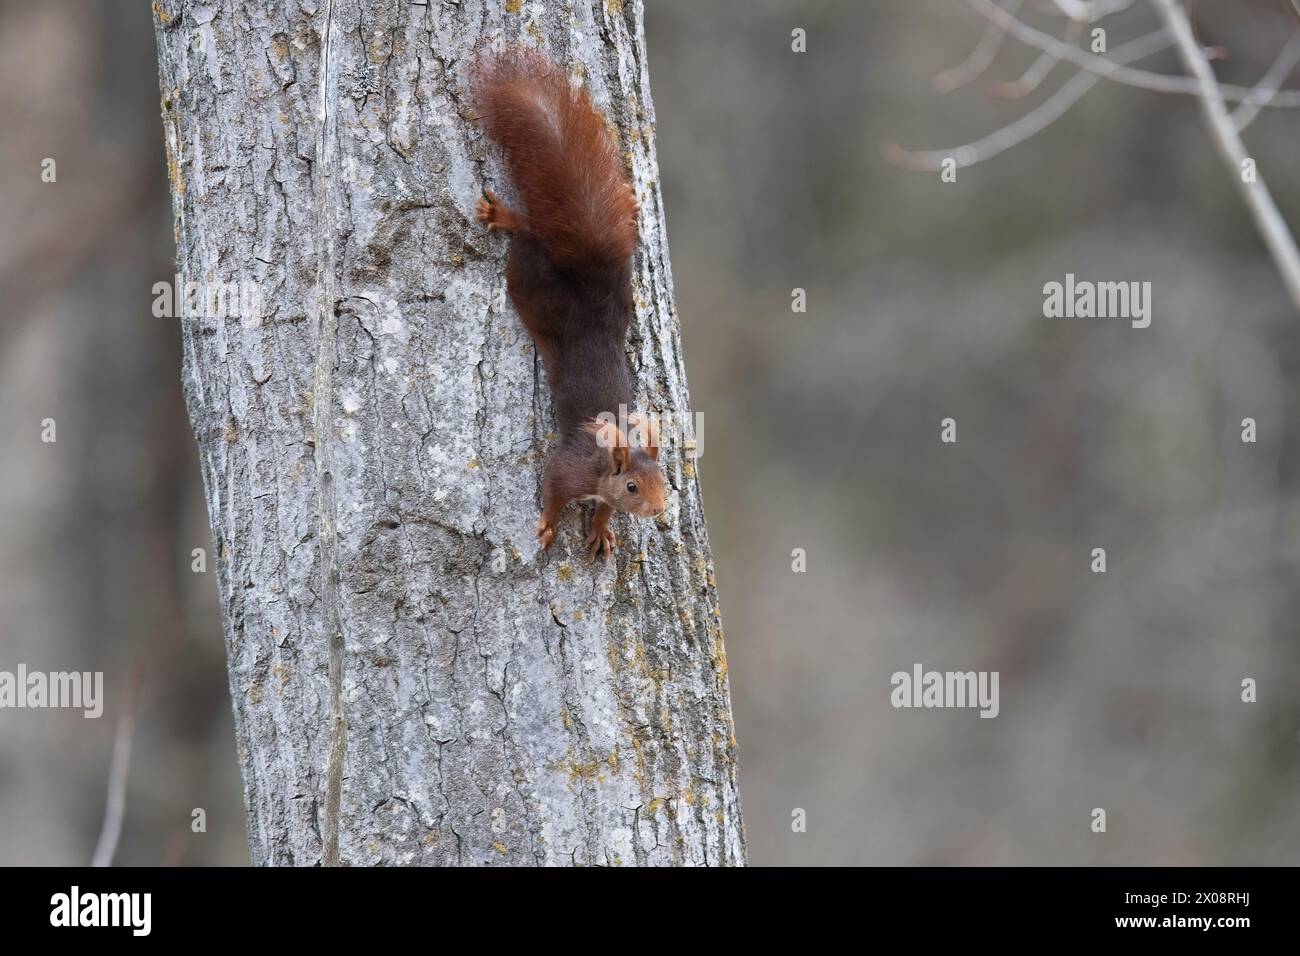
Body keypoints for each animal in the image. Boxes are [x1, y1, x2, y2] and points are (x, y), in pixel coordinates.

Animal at [472, 48, 666, 563]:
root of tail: (592, 291)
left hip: (620, 302)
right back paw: (506, 216)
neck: (602, 468)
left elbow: (603, 511)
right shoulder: (567, 467)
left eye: (665, 482)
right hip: (531, 285)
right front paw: (546, 525)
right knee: (529, 233)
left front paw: (599, 530)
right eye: (634, 486)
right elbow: (553, 492)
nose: (659, 510)